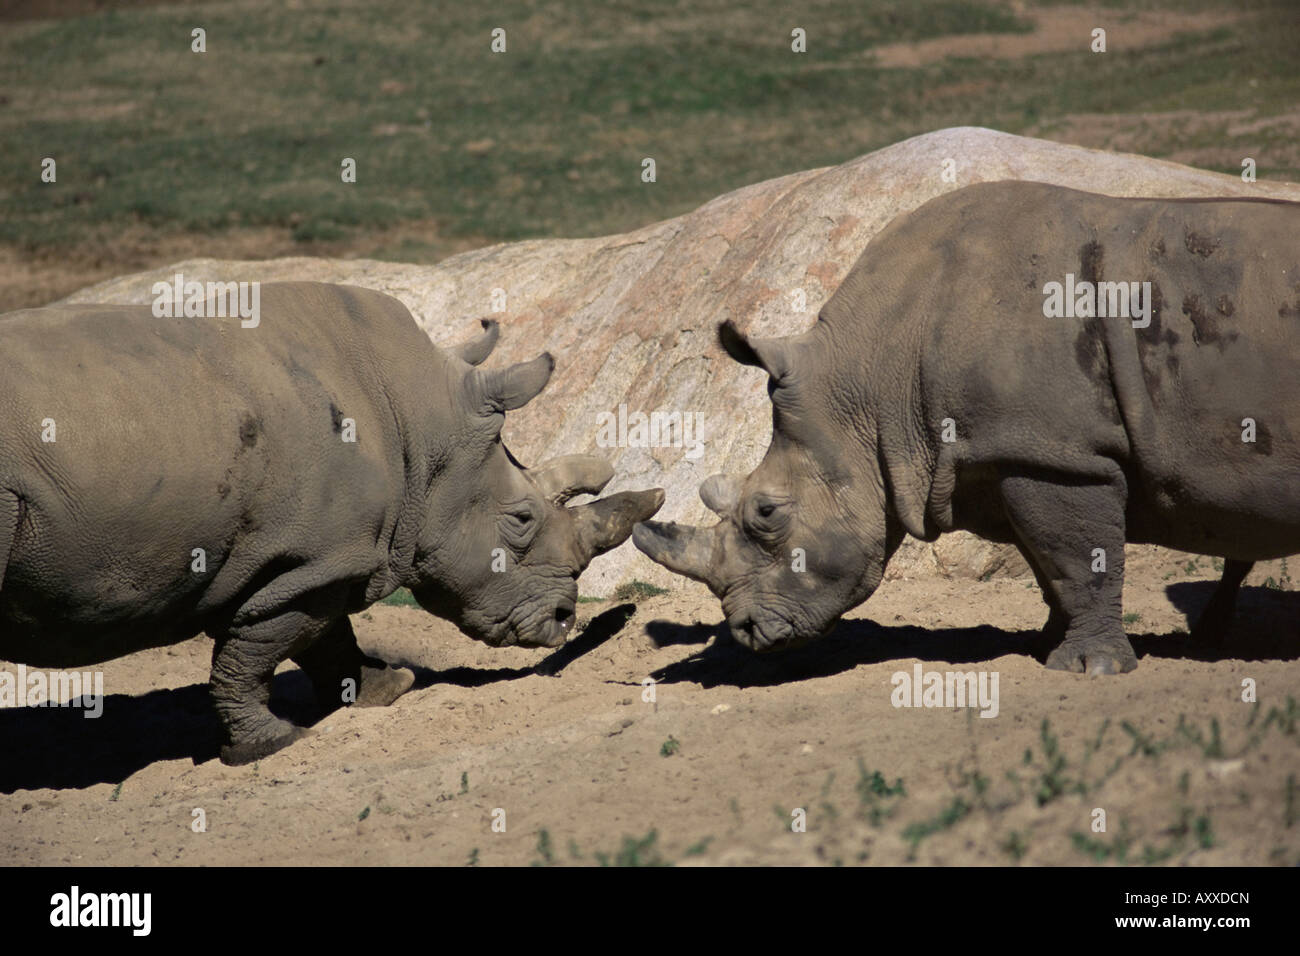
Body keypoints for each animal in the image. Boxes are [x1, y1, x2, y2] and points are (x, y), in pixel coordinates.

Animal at [0, 281, 663, 763]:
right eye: (521, 518)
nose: (564, 620)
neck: (416, 423)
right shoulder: (309, 561)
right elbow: (255, 652)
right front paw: (268, 745)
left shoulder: (329, 559)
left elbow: (325, 638)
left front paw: (387, 689)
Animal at [635, 181, 1300, 675]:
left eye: (767, 514)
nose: (748, 632)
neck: (871, 378)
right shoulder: (1011, 451)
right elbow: (1049, 563)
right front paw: (1044, 647)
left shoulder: (1056, 454)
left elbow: (1078, 559)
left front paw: (1090, 668)